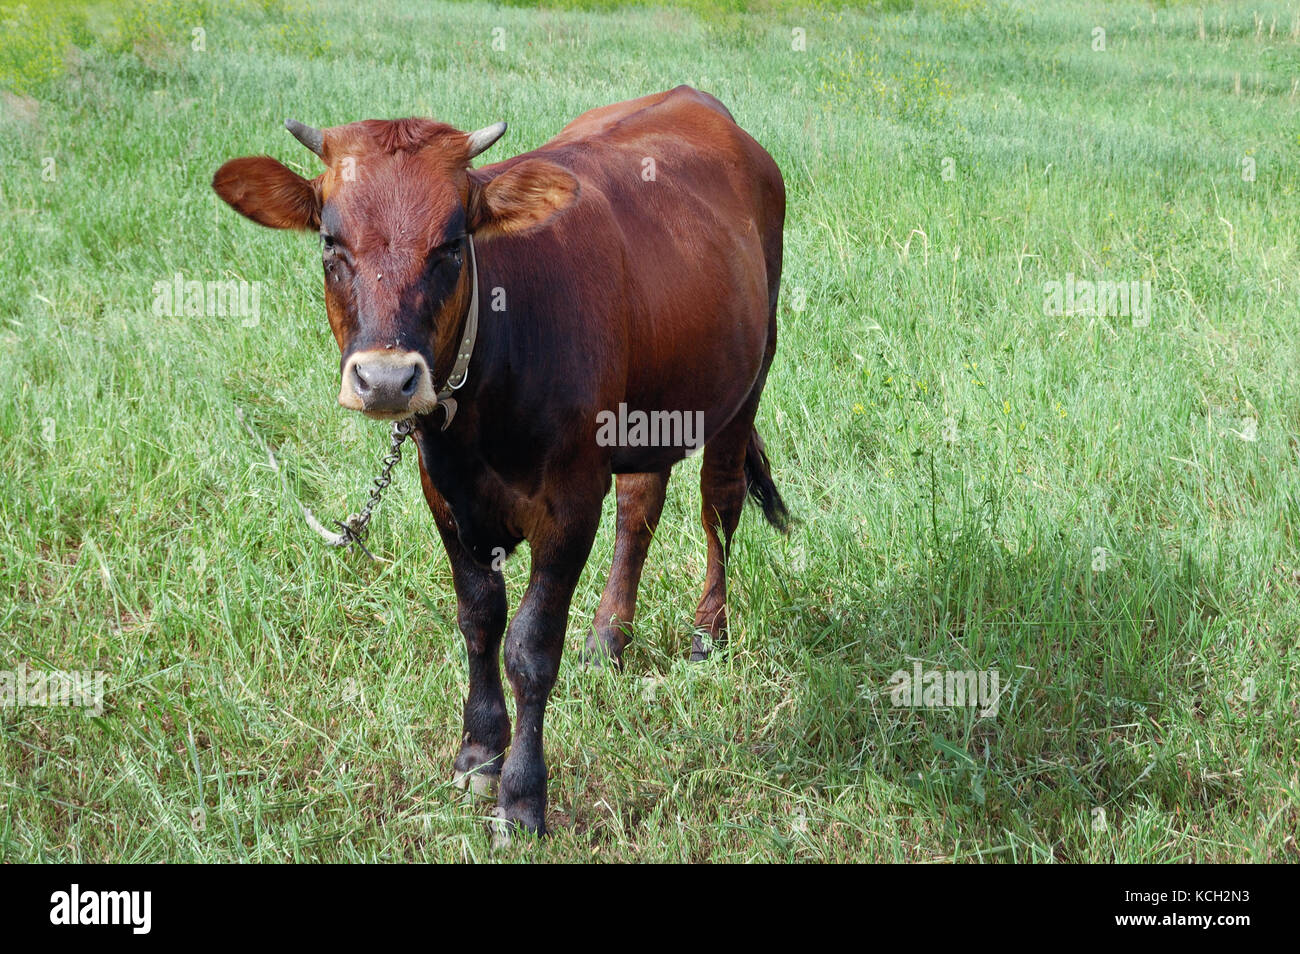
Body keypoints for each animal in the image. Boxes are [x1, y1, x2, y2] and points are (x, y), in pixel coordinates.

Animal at [212, 86, 789, 836]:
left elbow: (530, 647)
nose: (387, 379)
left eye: (452, 244)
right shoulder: (445, 496)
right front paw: (479, 754)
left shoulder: (570, 502)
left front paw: (522, 794)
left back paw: (706, 635)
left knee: (718, 504)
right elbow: (479, 622)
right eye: (330, 242)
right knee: (640, 507)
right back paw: (608, 640)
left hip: (747, 380)